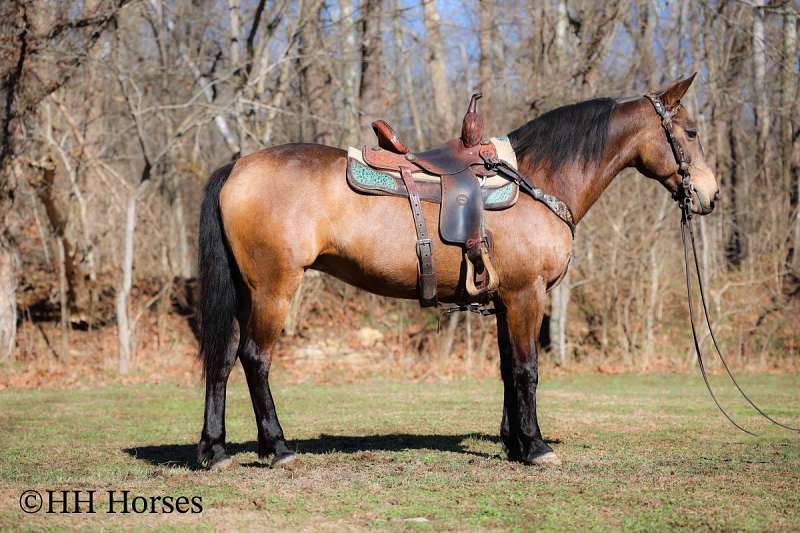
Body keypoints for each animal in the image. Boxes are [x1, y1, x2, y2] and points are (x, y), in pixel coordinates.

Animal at [196, 74, 719, 469]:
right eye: (692, 133)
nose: (710, 195)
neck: (537, 181)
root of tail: (237, 167)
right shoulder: (527, 296)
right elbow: (527, 369)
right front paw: (536, 446)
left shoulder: (506, 300)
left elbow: (508, 369)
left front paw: (514, 442)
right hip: (274, 288)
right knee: (255, 358)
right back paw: (277, 448)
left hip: (245, 290)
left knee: (222, 359)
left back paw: (214, 450)